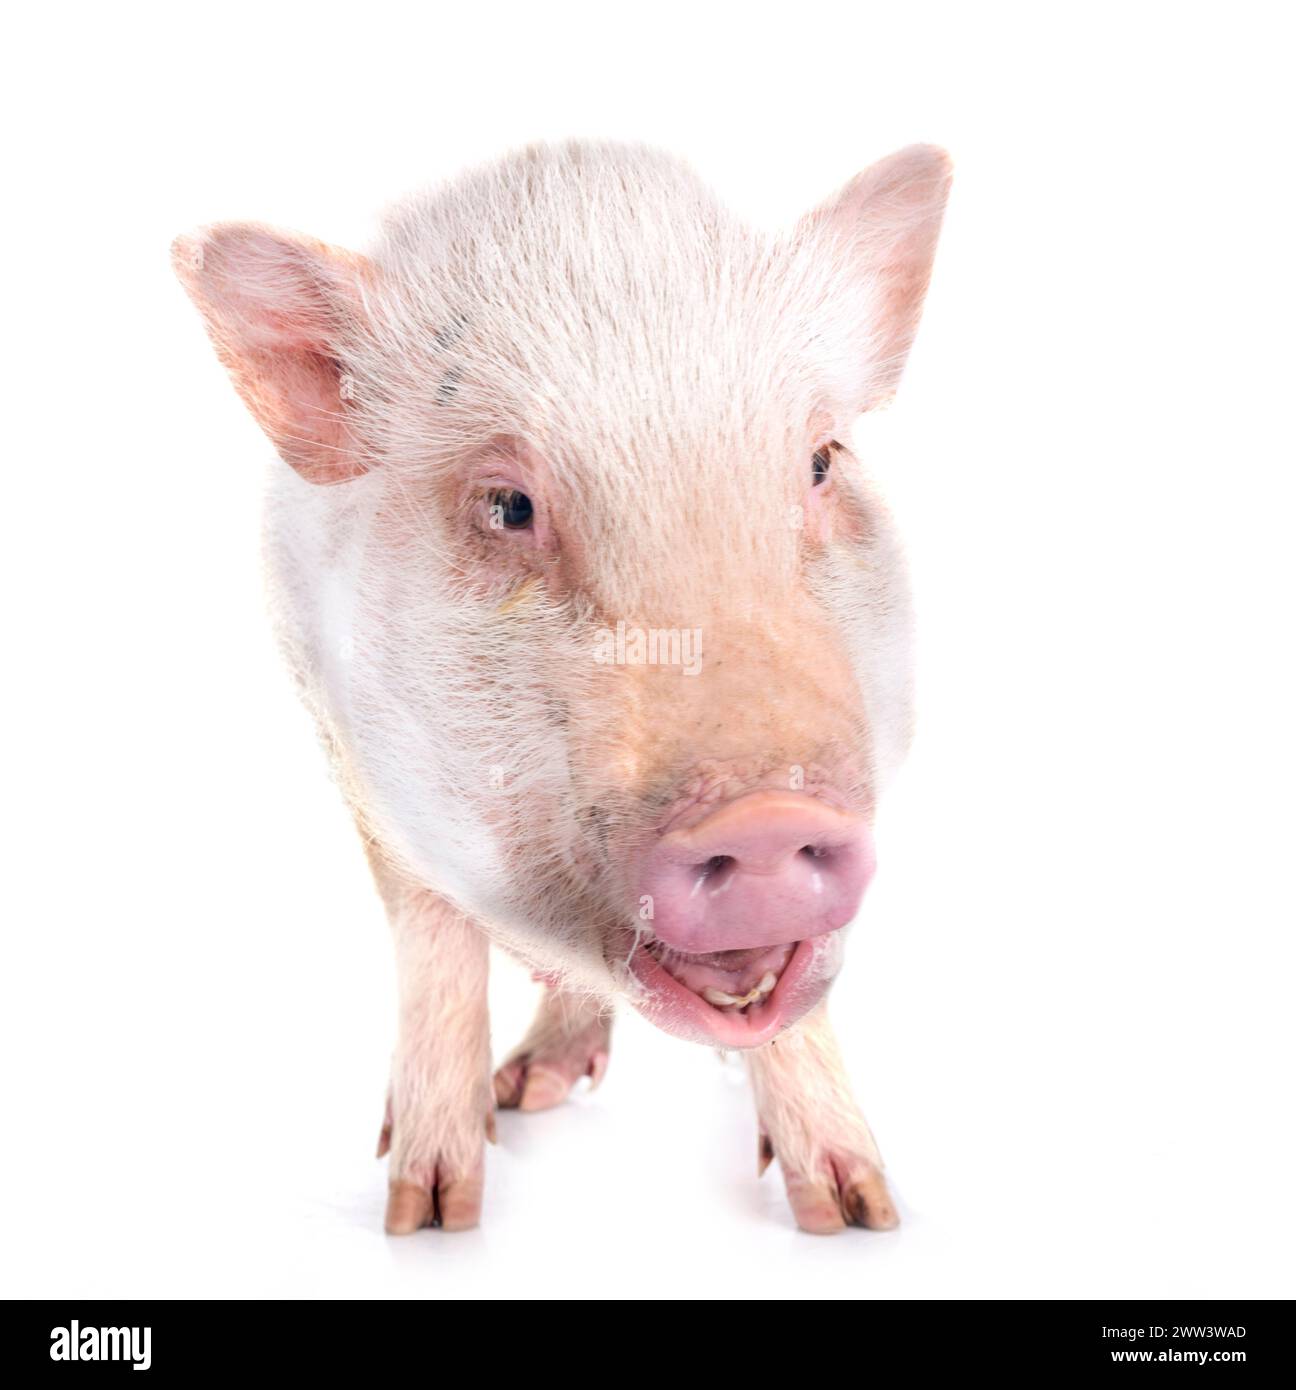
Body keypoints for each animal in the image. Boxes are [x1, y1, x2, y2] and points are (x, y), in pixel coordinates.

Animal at [172, 139, 951, 1235]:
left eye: (818, 462)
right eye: (508, 505)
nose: (765, 815)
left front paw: (859, 1217)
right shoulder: (352, 751)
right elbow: (435, 940)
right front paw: (428, 1216)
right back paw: (513, 1102)